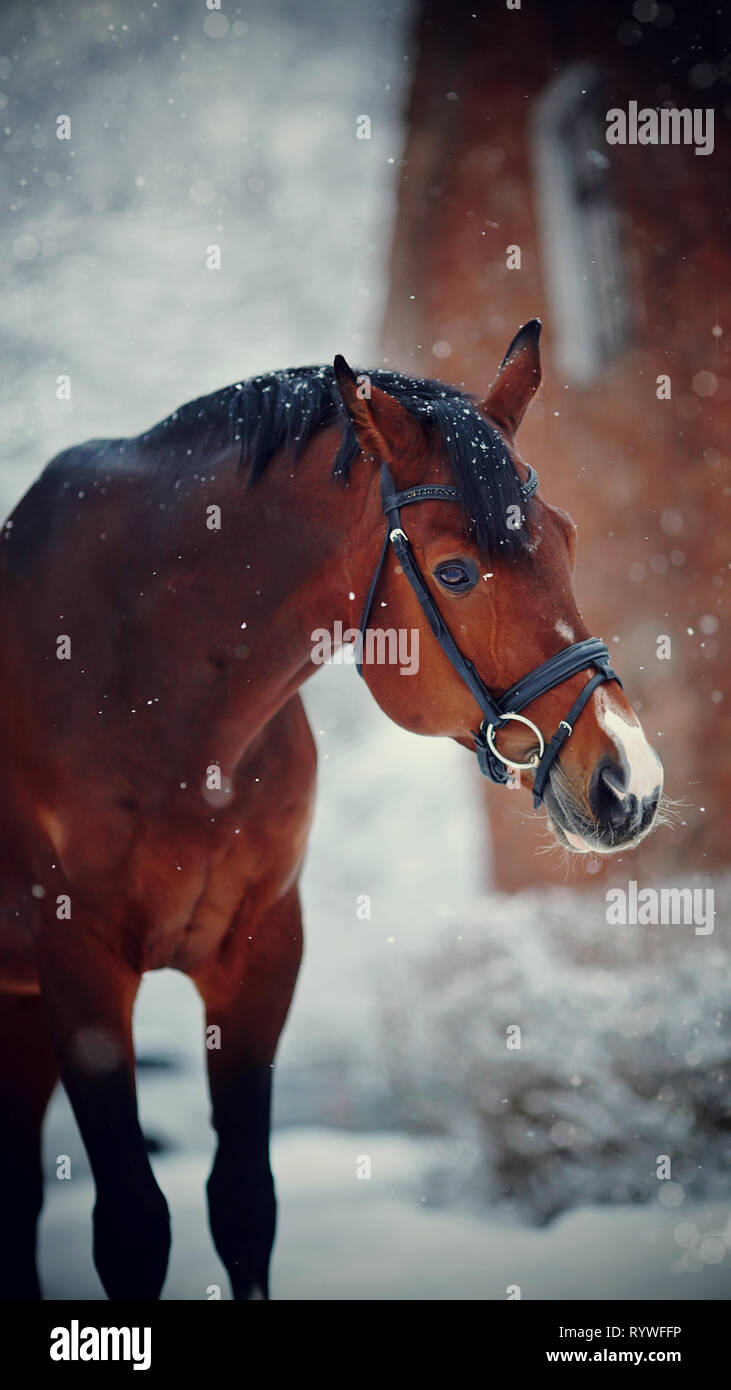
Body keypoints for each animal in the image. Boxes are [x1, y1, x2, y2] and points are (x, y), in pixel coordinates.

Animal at [0, 319, 663, 1300]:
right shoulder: (80, 967)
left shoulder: (260, 952)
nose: (630, 783)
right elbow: (133, 1227)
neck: (144, 683)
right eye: (454, 571)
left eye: (568, 538)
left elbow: (243, 1205)